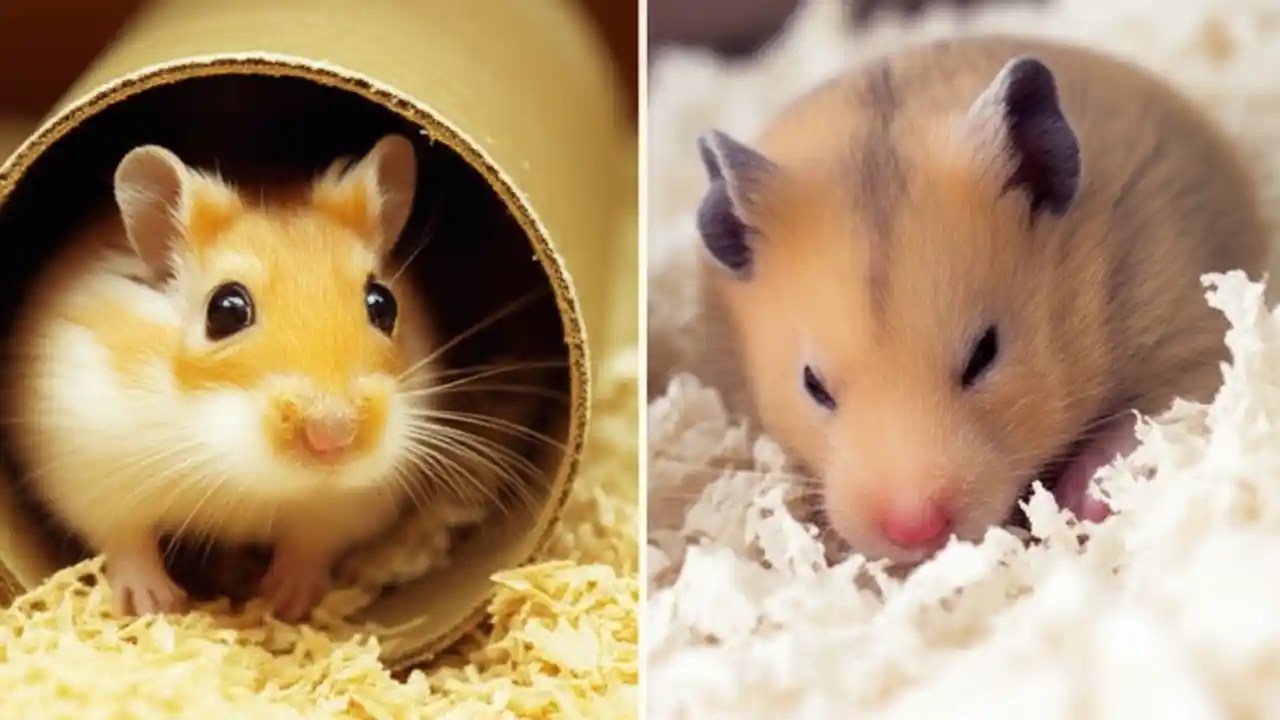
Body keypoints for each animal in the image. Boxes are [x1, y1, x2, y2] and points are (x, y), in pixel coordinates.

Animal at [6, 134, 451, 620]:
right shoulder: (89, 467)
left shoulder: (347, 508)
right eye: (225, 310)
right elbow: (127, 538)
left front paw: (286, 602)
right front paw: (155, 605)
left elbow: (309, 547)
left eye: (383, 303)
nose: (333, 434)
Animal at [693, 36, 1270, 565]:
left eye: (984, 354)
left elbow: (1145, 421)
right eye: (813, 385)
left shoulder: (1184, 326)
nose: (916, 532)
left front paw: (1078, 505)